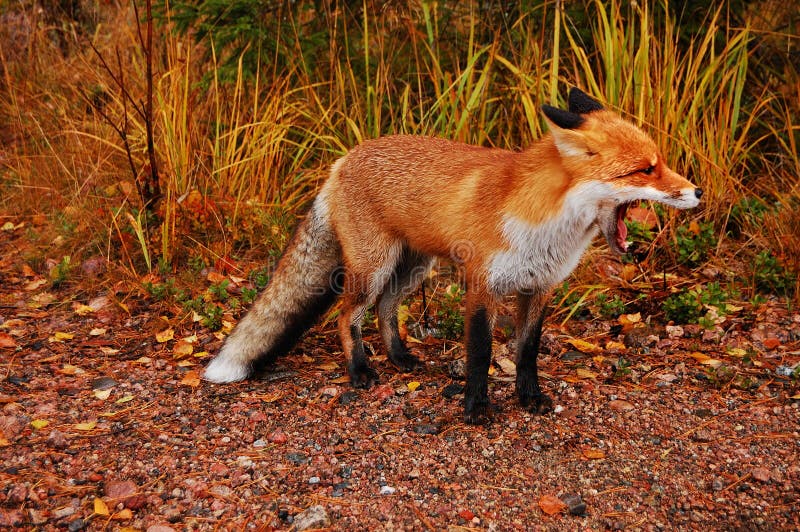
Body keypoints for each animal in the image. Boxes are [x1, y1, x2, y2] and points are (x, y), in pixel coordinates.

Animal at [204, 87, 702, 424]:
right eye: (645, 170)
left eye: (659, 162)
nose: (697, 192)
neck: (545, 225)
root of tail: (344, 159)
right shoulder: (483, 285)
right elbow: (481, 353)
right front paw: (476, 407)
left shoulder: (539, 288)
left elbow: (526, 352)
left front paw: (529, 397)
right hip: (373, 268)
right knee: (348, 317)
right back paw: (359, 370)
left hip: (412, 268)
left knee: (385, 309)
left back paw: (400, 358)